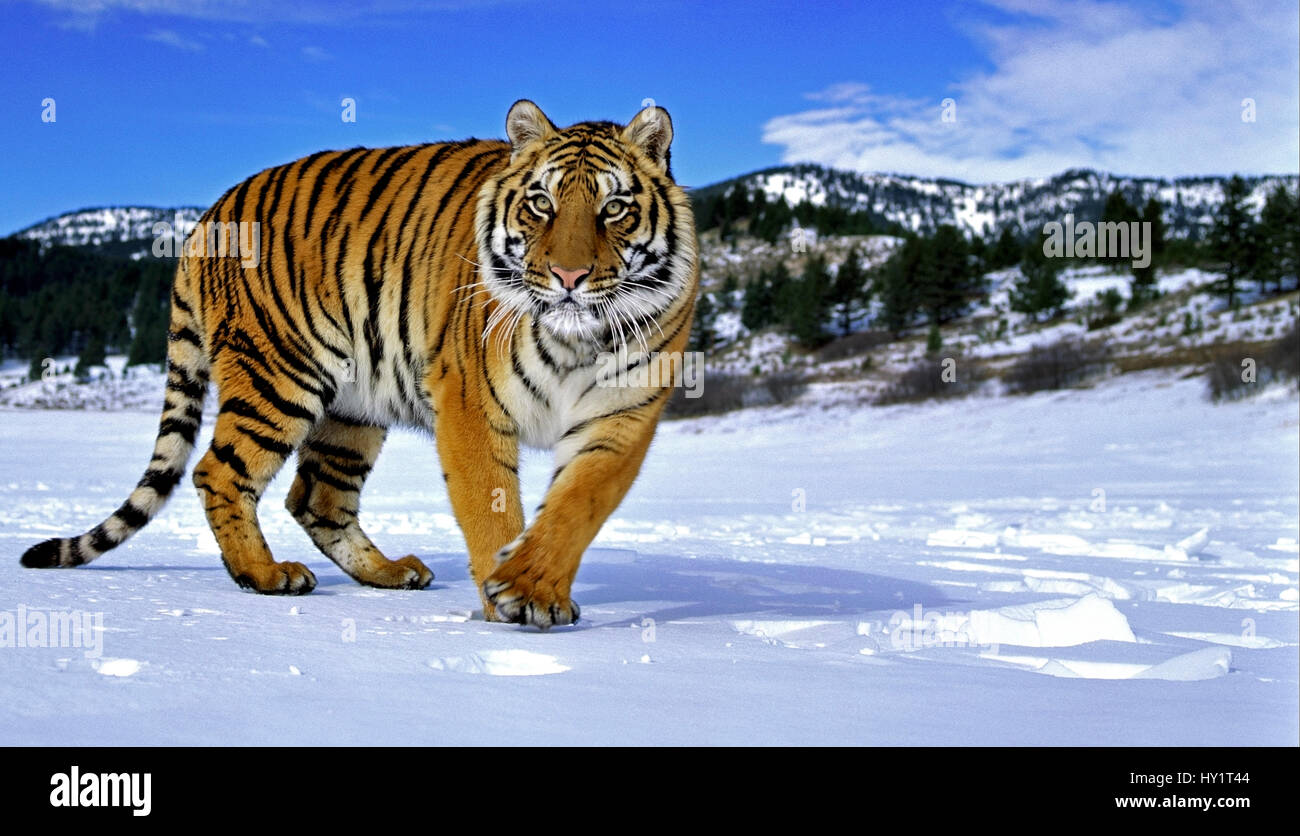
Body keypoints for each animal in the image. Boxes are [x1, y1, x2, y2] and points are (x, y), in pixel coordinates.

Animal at [20, 100, 698, 629]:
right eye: (540, 204)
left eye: (613, 209)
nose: (568, 276)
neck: (577, 338)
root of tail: (207, 215)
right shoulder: (472, 403)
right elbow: (491, 506)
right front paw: (505, 603)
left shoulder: (623, 413)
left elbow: (577, 505)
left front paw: (534, 590)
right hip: (279, 375)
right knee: (219, 471)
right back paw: (264, 575)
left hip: (353, 405)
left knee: (316, 497)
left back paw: (390, 572)